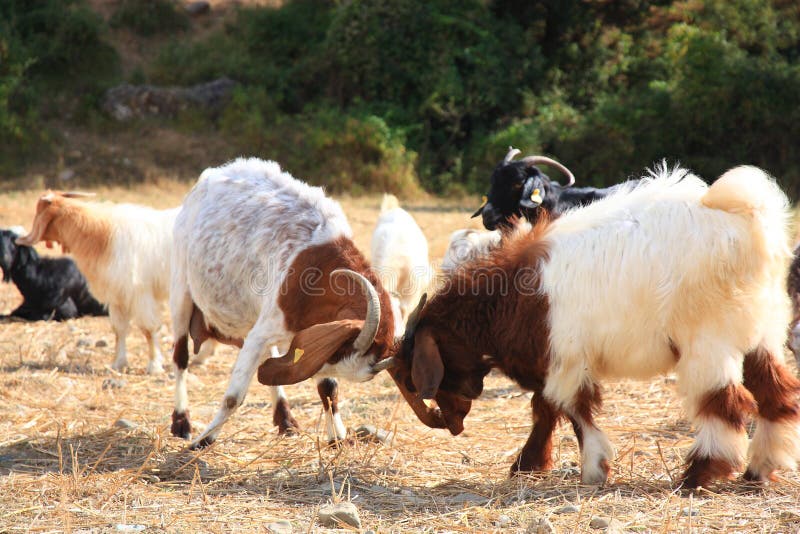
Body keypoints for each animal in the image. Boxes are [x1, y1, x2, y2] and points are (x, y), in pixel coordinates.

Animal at [16, 192, 214, 373]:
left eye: (39, 210)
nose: (20, 239)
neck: (103, 236)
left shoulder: (140, 293)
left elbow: (148, 329)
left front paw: (154, 365)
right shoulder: (118, 297)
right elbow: (119, 329)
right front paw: (118, 363)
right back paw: (202, 357)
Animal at [391, 164, 800, 489]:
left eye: (418, 374)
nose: (452, 424)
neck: (506, 295)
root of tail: (751, 223)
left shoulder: (565, 357)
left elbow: (571, 407)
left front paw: (592, 467)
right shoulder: (551, 359)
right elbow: (546, 408)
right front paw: (529, 464)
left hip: (708, 342)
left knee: (726, 404)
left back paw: (698, 475)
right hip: (762, 334)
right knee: (778, 395)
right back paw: (759, 471)